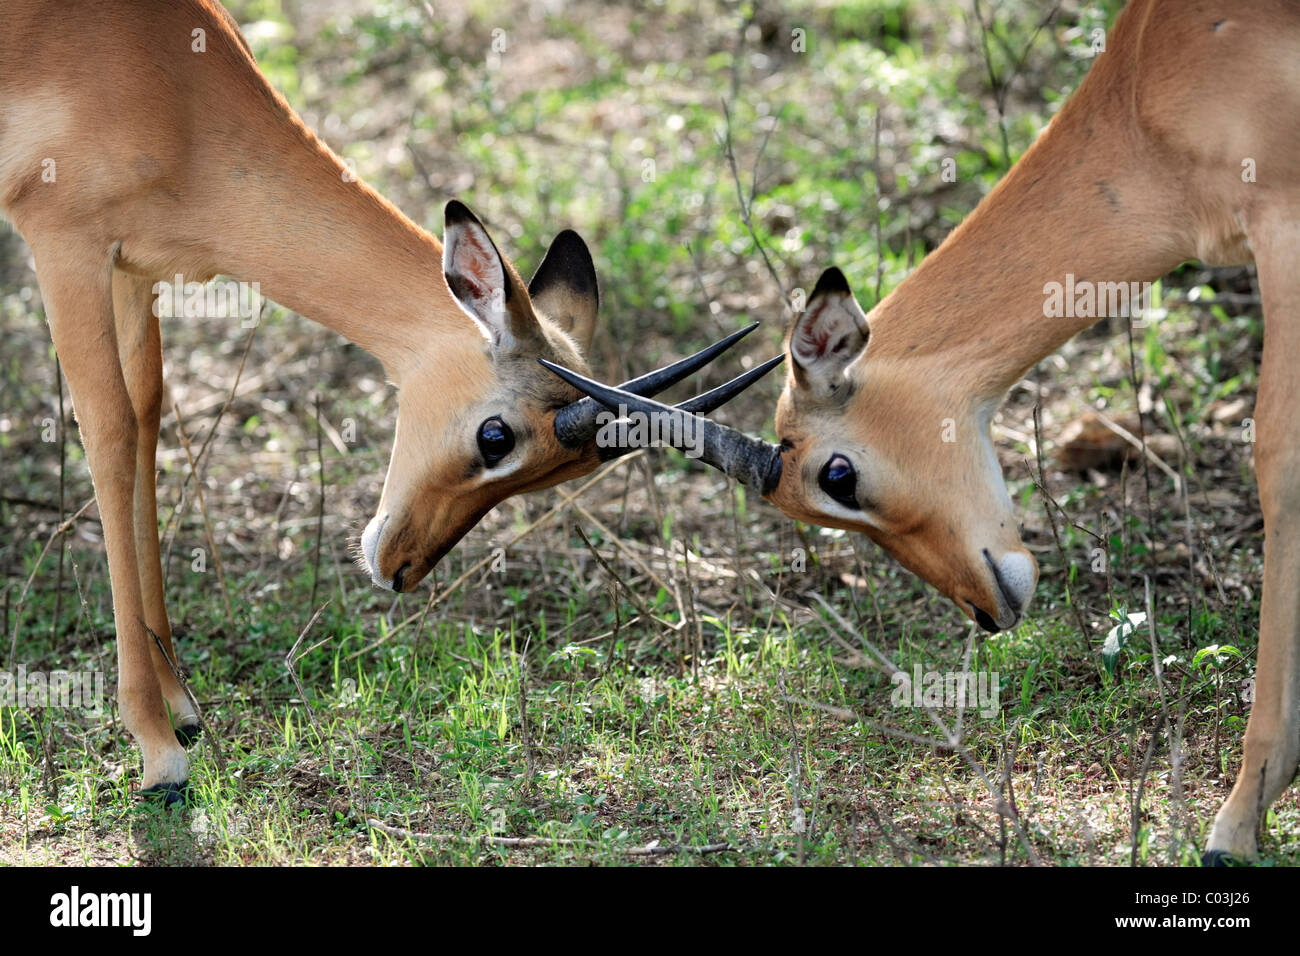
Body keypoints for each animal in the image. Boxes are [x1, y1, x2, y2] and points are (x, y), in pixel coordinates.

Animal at [0, 1, 776, 804]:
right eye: (496, 437)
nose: (401, 570)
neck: (171, 88)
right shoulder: (66, 246)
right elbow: (111, 434)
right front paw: (158, 750)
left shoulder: (134, 269)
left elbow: (148, 416)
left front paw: (181, 705)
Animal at [547, 0, 1300, 863]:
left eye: (838, 475)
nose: (987, 610)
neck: (1152, 75)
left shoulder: (1284, 222)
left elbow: (1280, 458)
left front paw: (1237, 819)